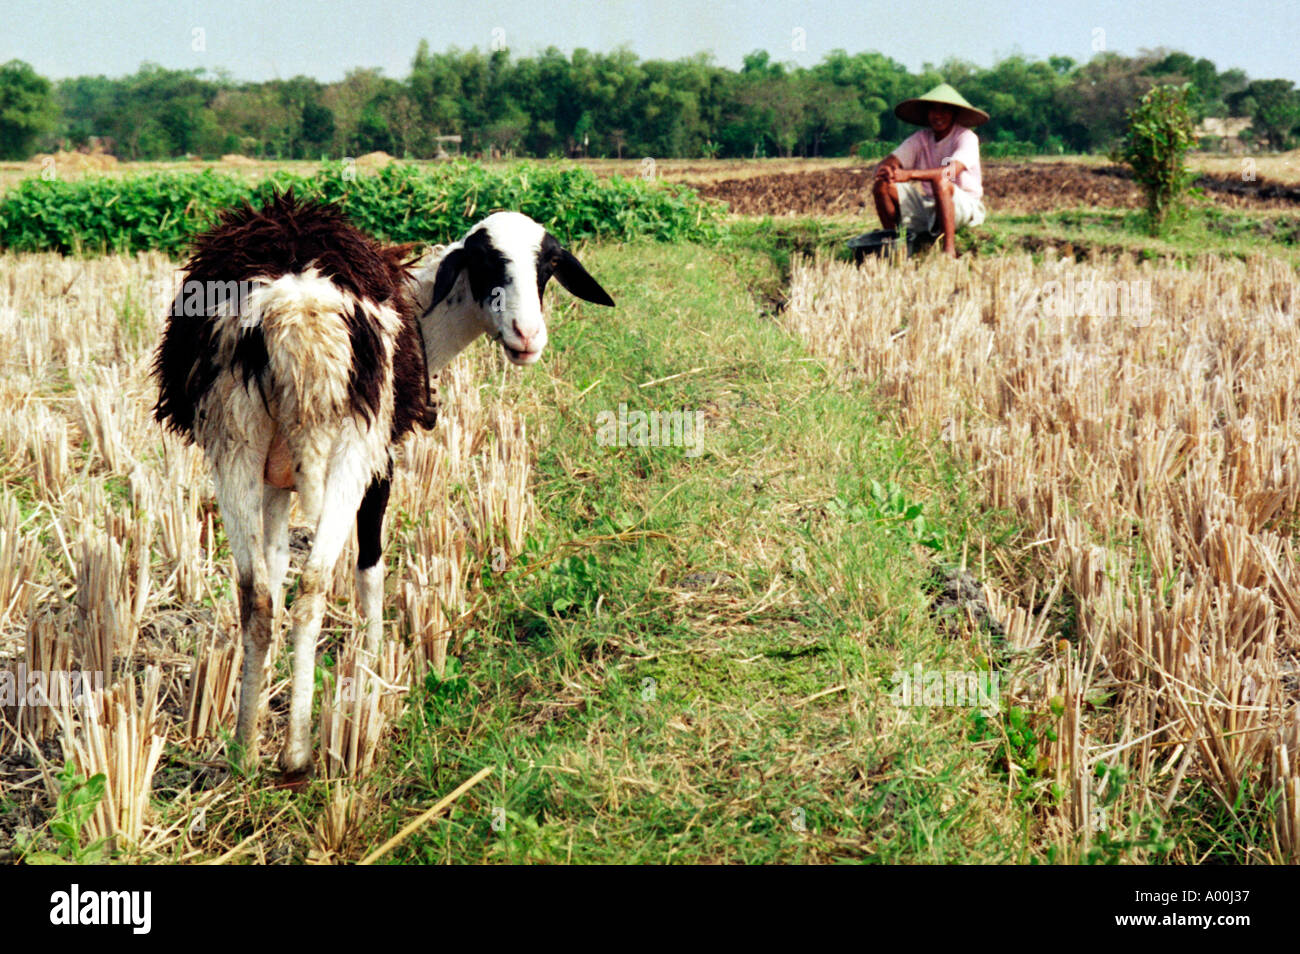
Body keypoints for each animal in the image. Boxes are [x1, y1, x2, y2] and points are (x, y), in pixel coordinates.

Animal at [153, 191, 614, 776]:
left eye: (548, 266)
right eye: (485, 262)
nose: (528, 338)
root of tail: (294, 312)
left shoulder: (275, 481)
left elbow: (272, 574)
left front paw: (263, 691)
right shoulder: (382, 463)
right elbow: (369, 568)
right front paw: (372, 666)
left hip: (233, 441)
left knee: (256, 593)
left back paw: (244, 750)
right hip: (352, 445)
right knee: (315, 582)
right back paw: (297, 754)